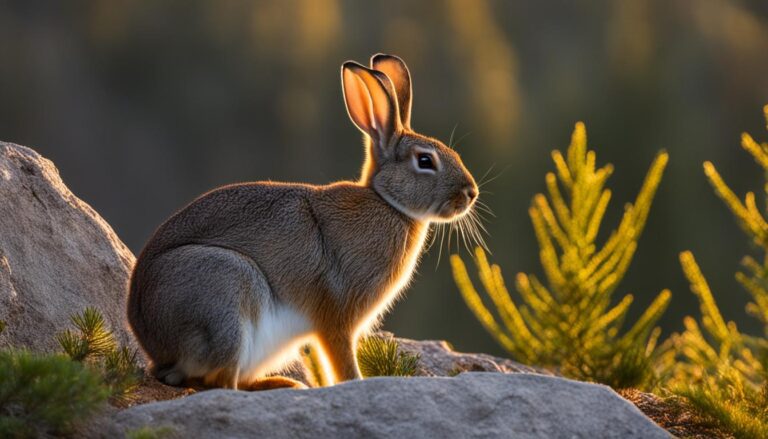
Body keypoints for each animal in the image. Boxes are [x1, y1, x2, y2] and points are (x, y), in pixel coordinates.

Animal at [127, 53, 479, 390]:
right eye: (425, 161)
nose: (470, 193)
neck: (388, 203)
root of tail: (155, 348)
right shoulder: (337, 317)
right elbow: (340, 360)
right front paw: (356, 383)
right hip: (227, 292)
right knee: (219, 382)